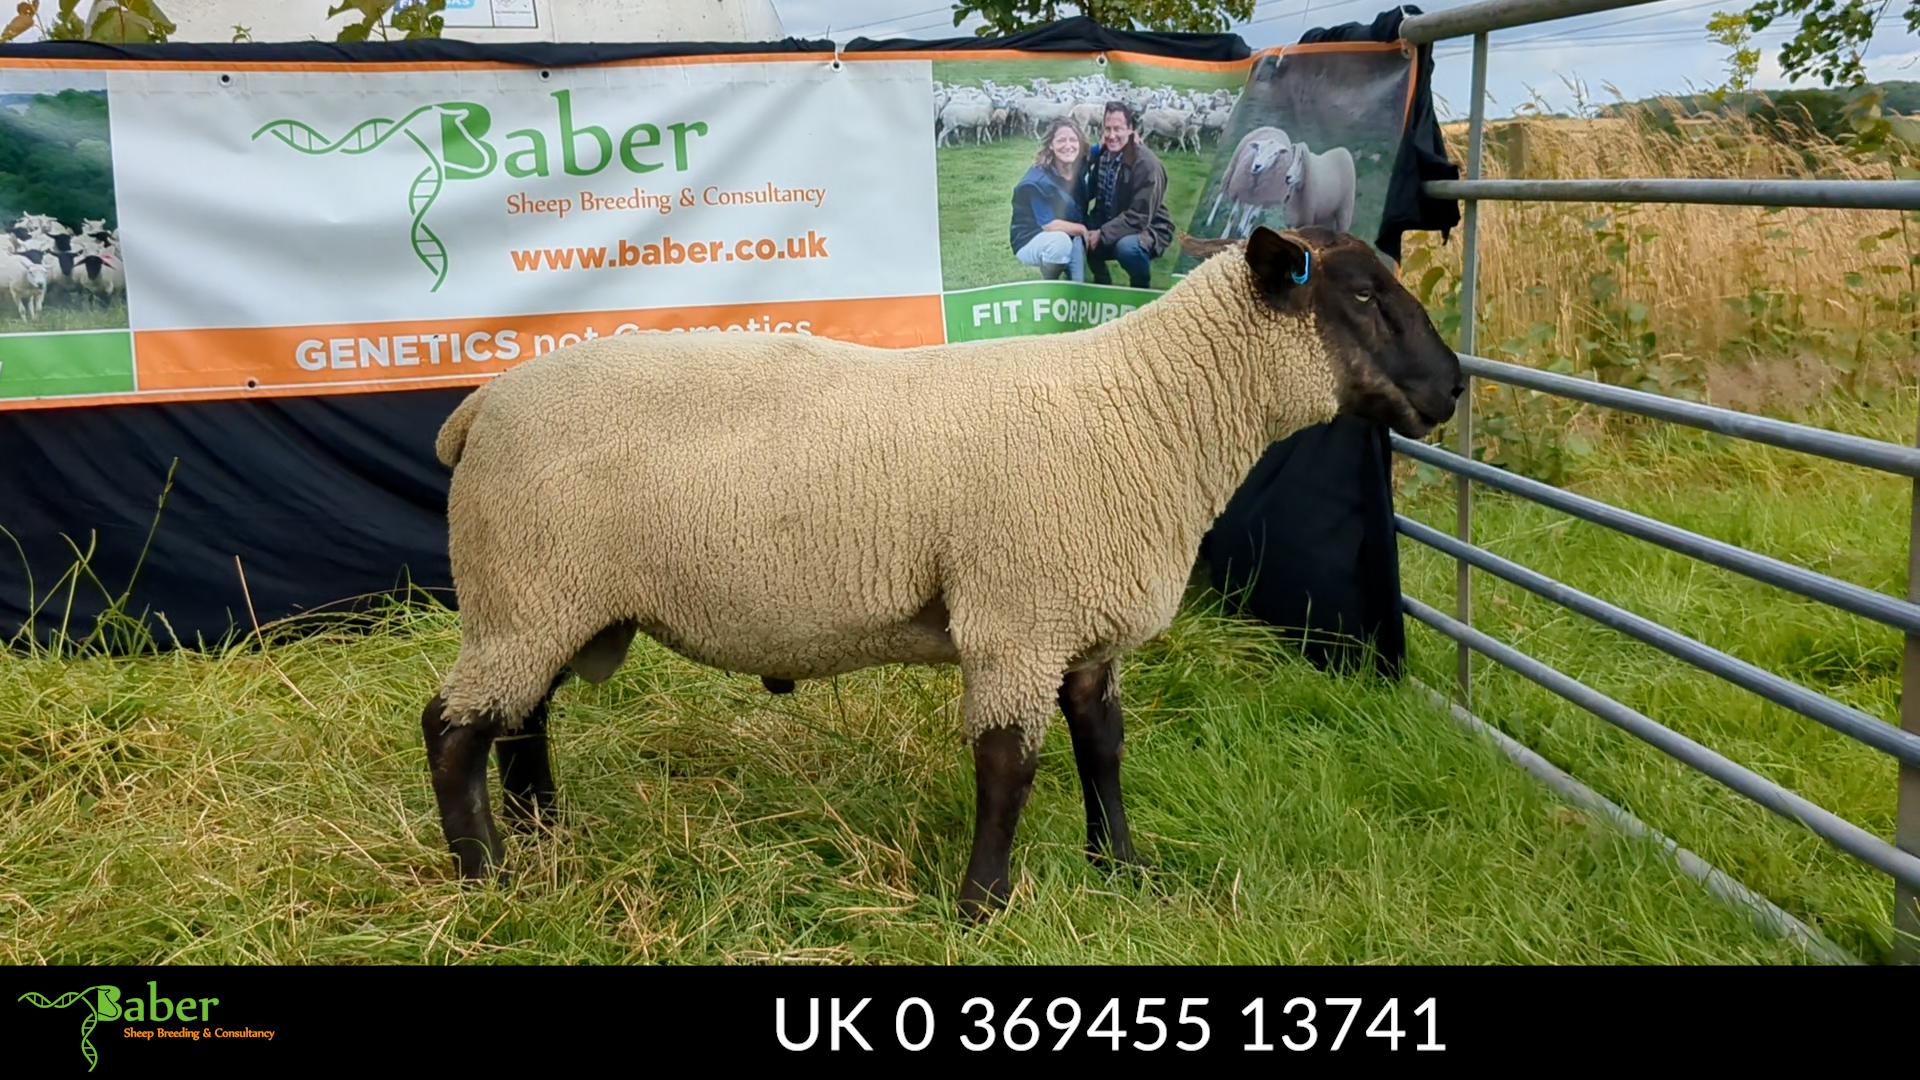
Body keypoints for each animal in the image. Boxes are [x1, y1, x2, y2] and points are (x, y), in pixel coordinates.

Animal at [417, 226, 1464, 919]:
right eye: (1360, 297)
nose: (1453, 387)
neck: (1147, 410)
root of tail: (478, 407)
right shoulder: (1016, 617)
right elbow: (1009, 765)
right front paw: (983, 906)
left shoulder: (1083, 627)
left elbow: (1103, 748)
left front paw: (1123, 871)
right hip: (523, 589)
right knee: (453, 728)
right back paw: (485, 879)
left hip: (554, 598)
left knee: (522, 721)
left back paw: (543, 838)